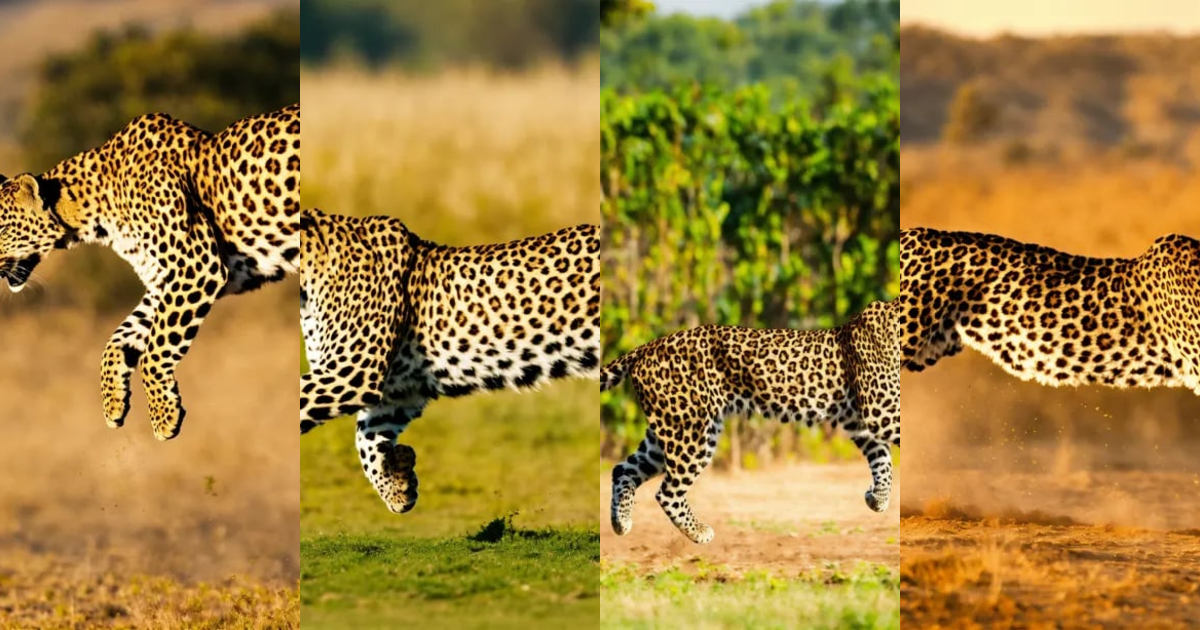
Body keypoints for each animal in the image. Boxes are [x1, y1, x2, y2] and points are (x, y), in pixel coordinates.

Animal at [0, 104, 300, 440]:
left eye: (2, 228)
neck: (95, 207)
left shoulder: (195, 267)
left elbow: (157, 347)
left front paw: (163, 415)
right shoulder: (162, 281)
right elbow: (119, 339)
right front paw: (114, 402)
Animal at [602, 299, 900, 544]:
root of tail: (650, 346)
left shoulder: (862, 419)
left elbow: (882, 460)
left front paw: (877, 498)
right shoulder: (881, 409)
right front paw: (880, 498)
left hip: (671, 427)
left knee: (623, 470)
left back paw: (620, 523)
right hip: (693, 432)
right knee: (667, 492)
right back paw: (699, 532)